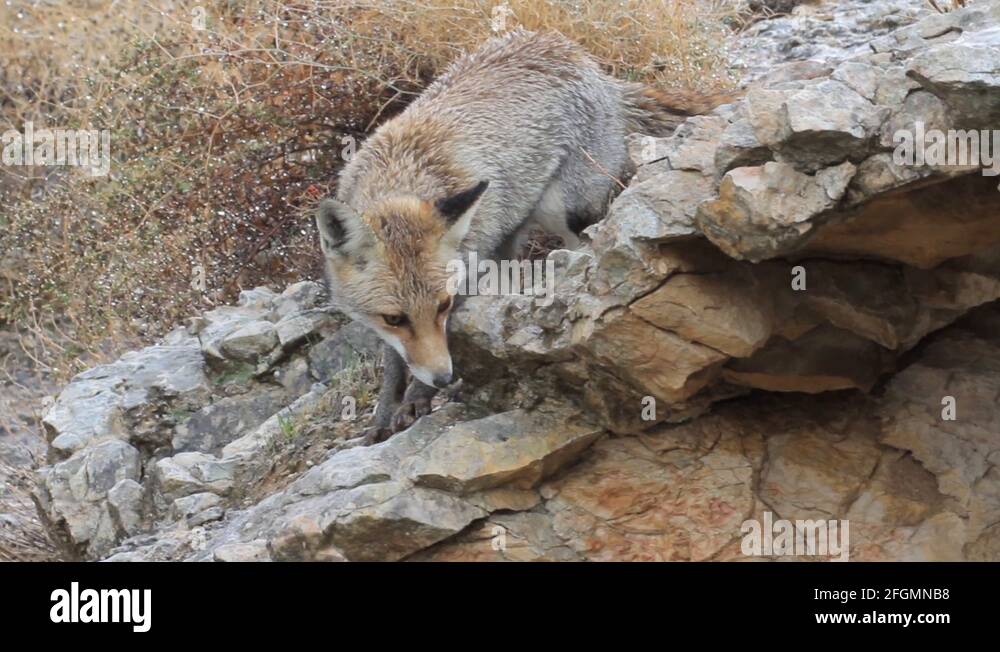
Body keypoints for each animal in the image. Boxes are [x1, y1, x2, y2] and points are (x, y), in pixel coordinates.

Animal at [316, 29, 732, 443]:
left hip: (561, 209)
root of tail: (580, 57)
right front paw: (386, 412)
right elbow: (393, 361)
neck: (403, 172)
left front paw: (419, 396)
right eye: (395, 319)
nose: (444, 377)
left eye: (442, 306)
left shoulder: (468, 274)